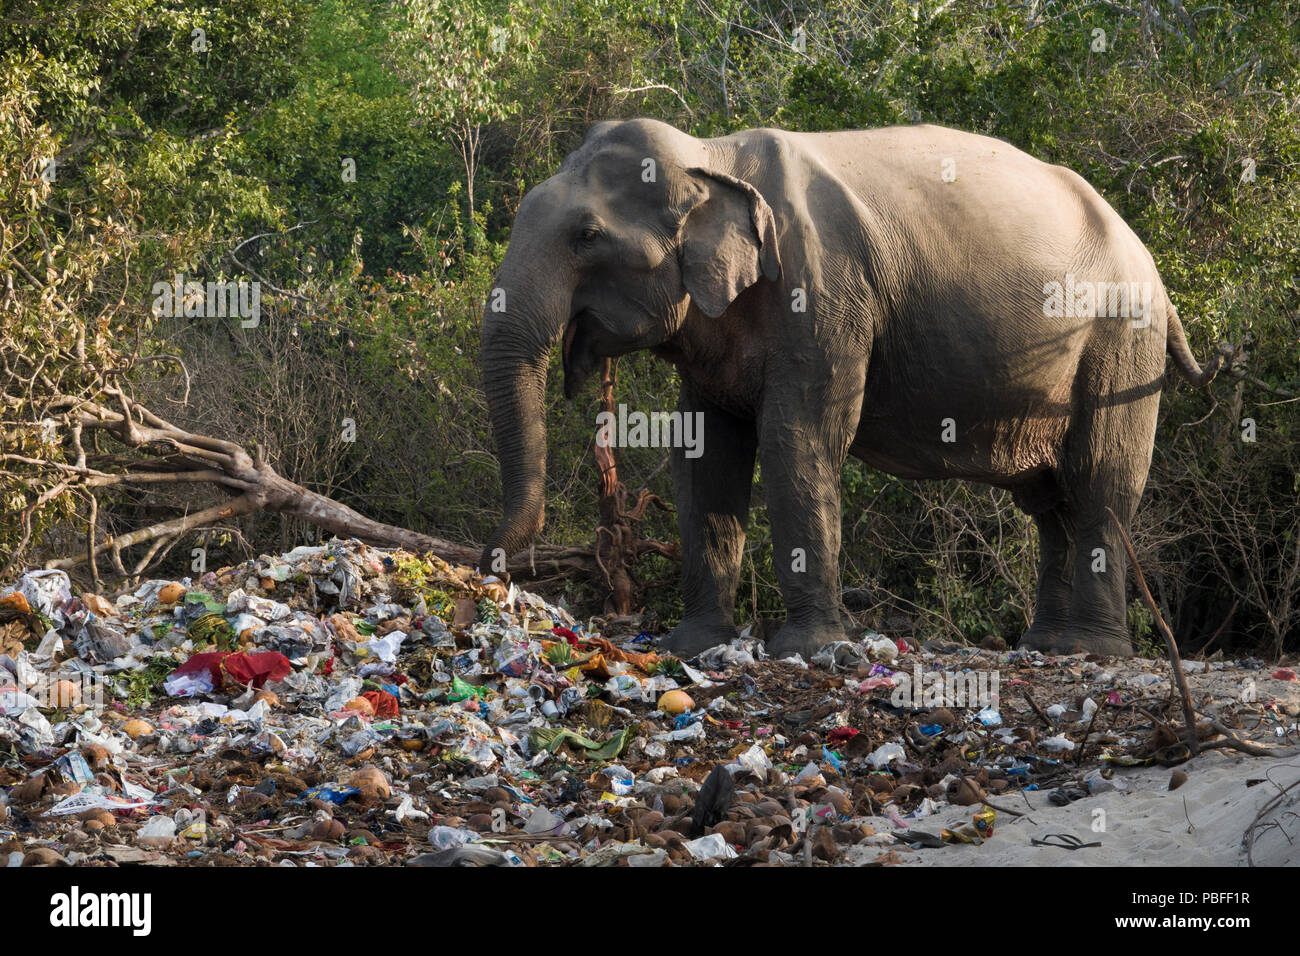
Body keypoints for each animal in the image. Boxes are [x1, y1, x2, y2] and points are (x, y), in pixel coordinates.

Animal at [478, 118, 1224, 659]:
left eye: (586, 234)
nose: (494, 575)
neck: (710, 156)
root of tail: (1153, 268)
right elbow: (704, 457)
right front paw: (693, 646)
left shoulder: (825, 296)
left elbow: (796, 443)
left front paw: (806, 650)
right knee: (1048, 501)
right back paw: (1049, 646)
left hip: (1121, 340)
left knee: (1100, 482)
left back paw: (1096, 653)